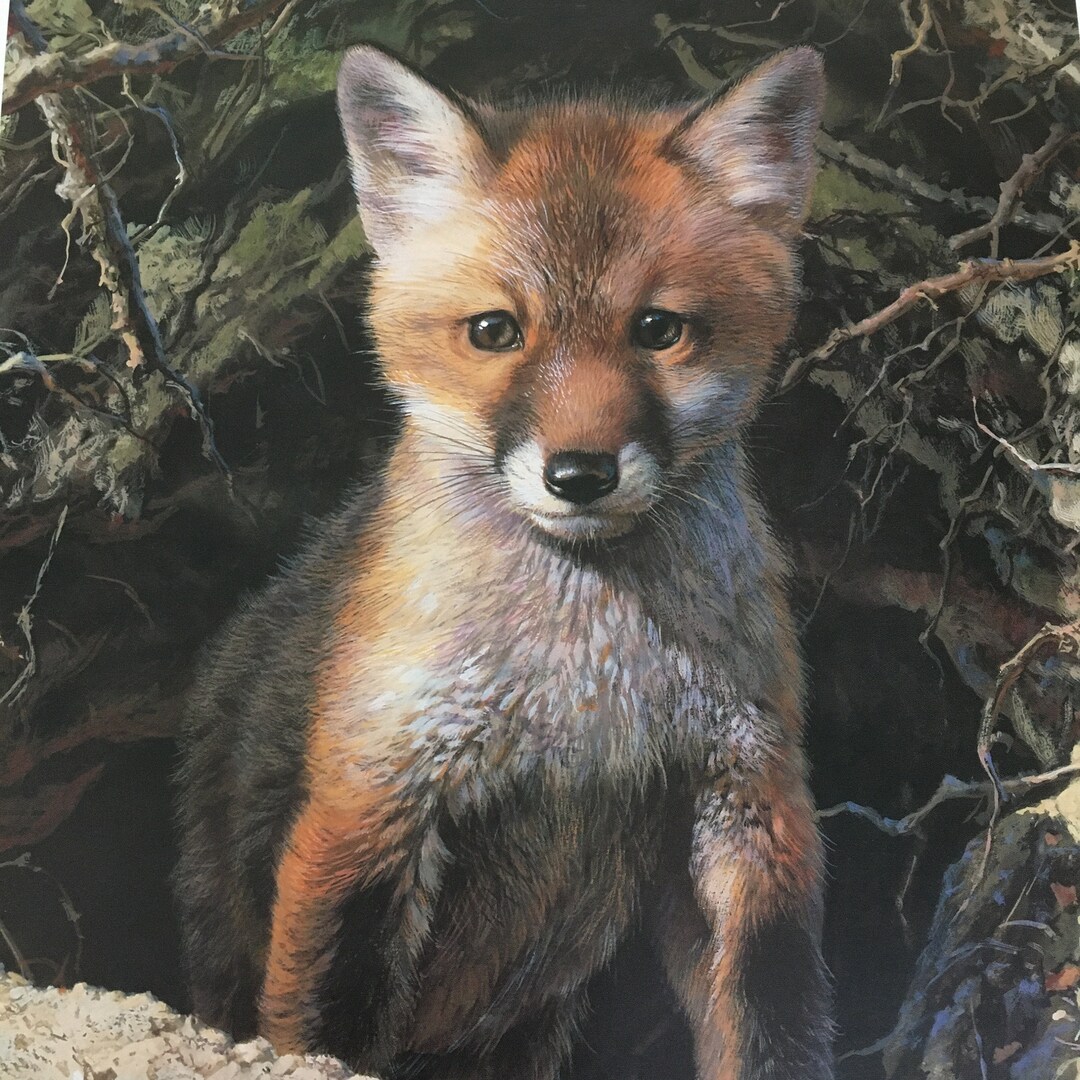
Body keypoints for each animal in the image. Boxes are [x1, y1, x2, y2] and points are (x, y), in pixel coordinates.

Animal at [174, 42, 833, 1080]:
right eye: (495, 331)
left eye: (658, 329)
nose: (579, 474)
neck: (589, 697)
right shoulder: (372, 802)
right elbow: (327, 1025)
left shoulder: (748, 798)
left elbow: (771, 1027)